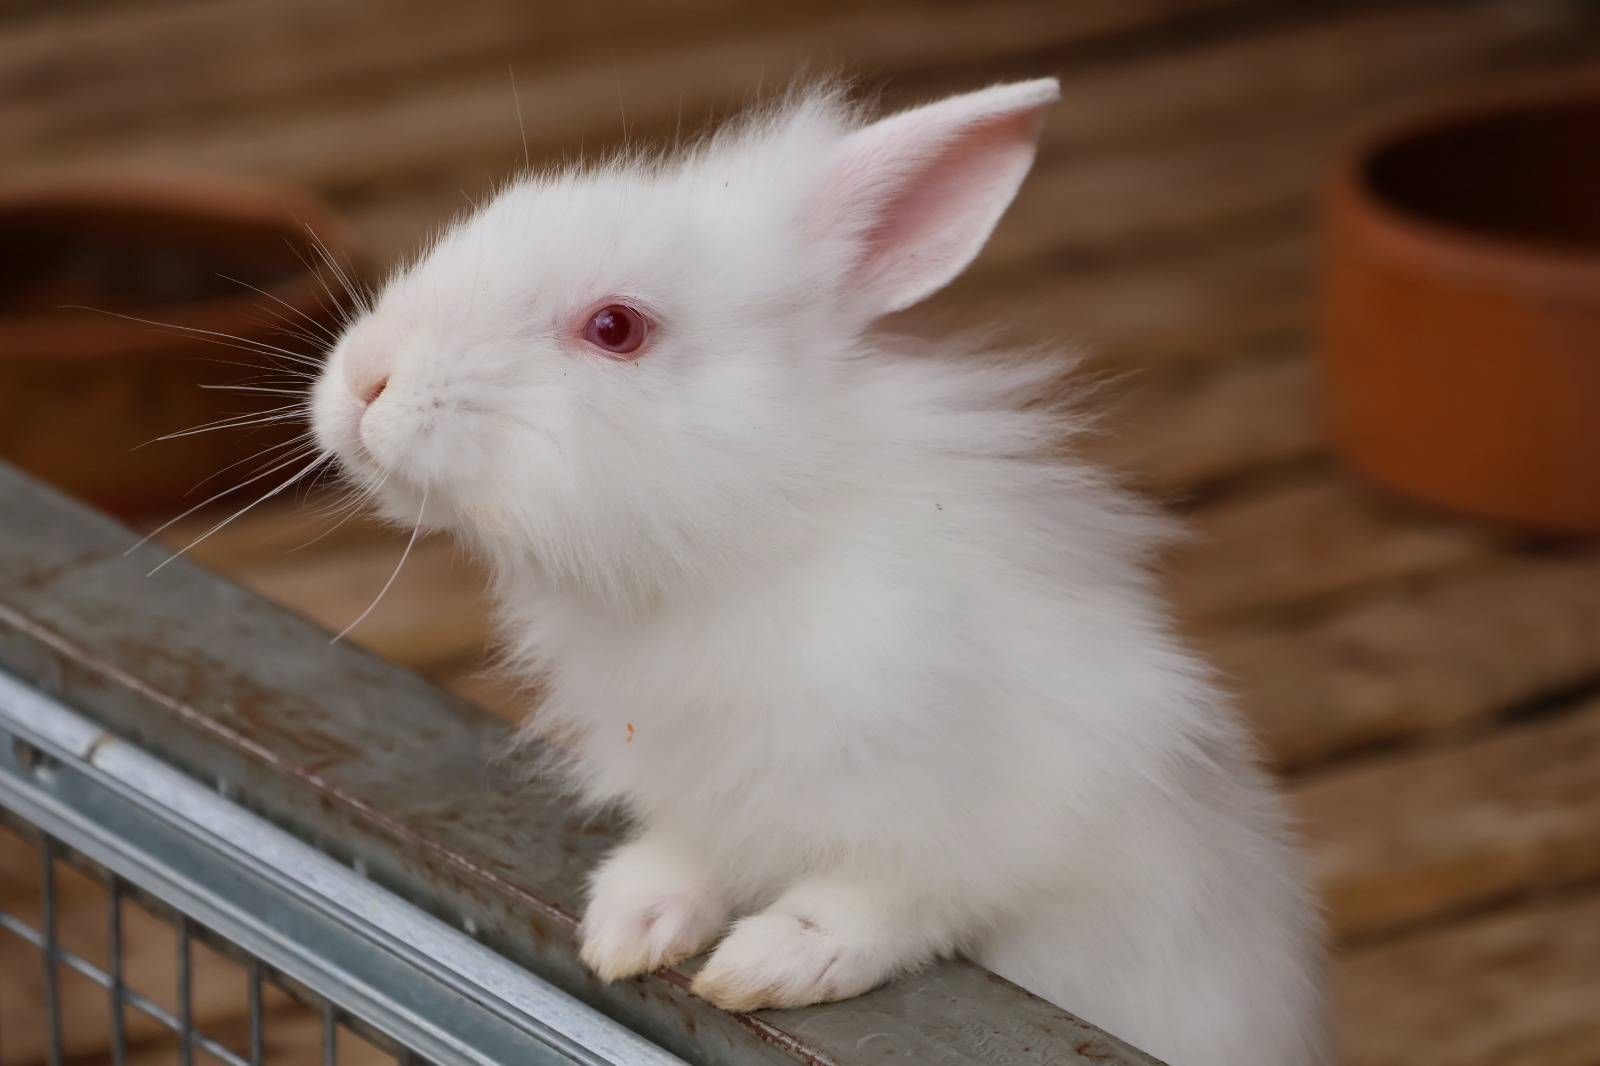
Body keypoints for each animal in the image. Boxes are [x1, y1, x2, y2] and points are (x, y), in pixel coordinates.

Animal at [309, 78, 1328, 1066]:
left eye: (616, 327)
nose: (364, 381)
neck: (747, 532)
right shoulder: (705, 789)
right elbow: (693, 854)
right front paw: (628, 924)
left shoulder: (997, 813)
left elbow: (893, 898)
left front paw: (777, 959)